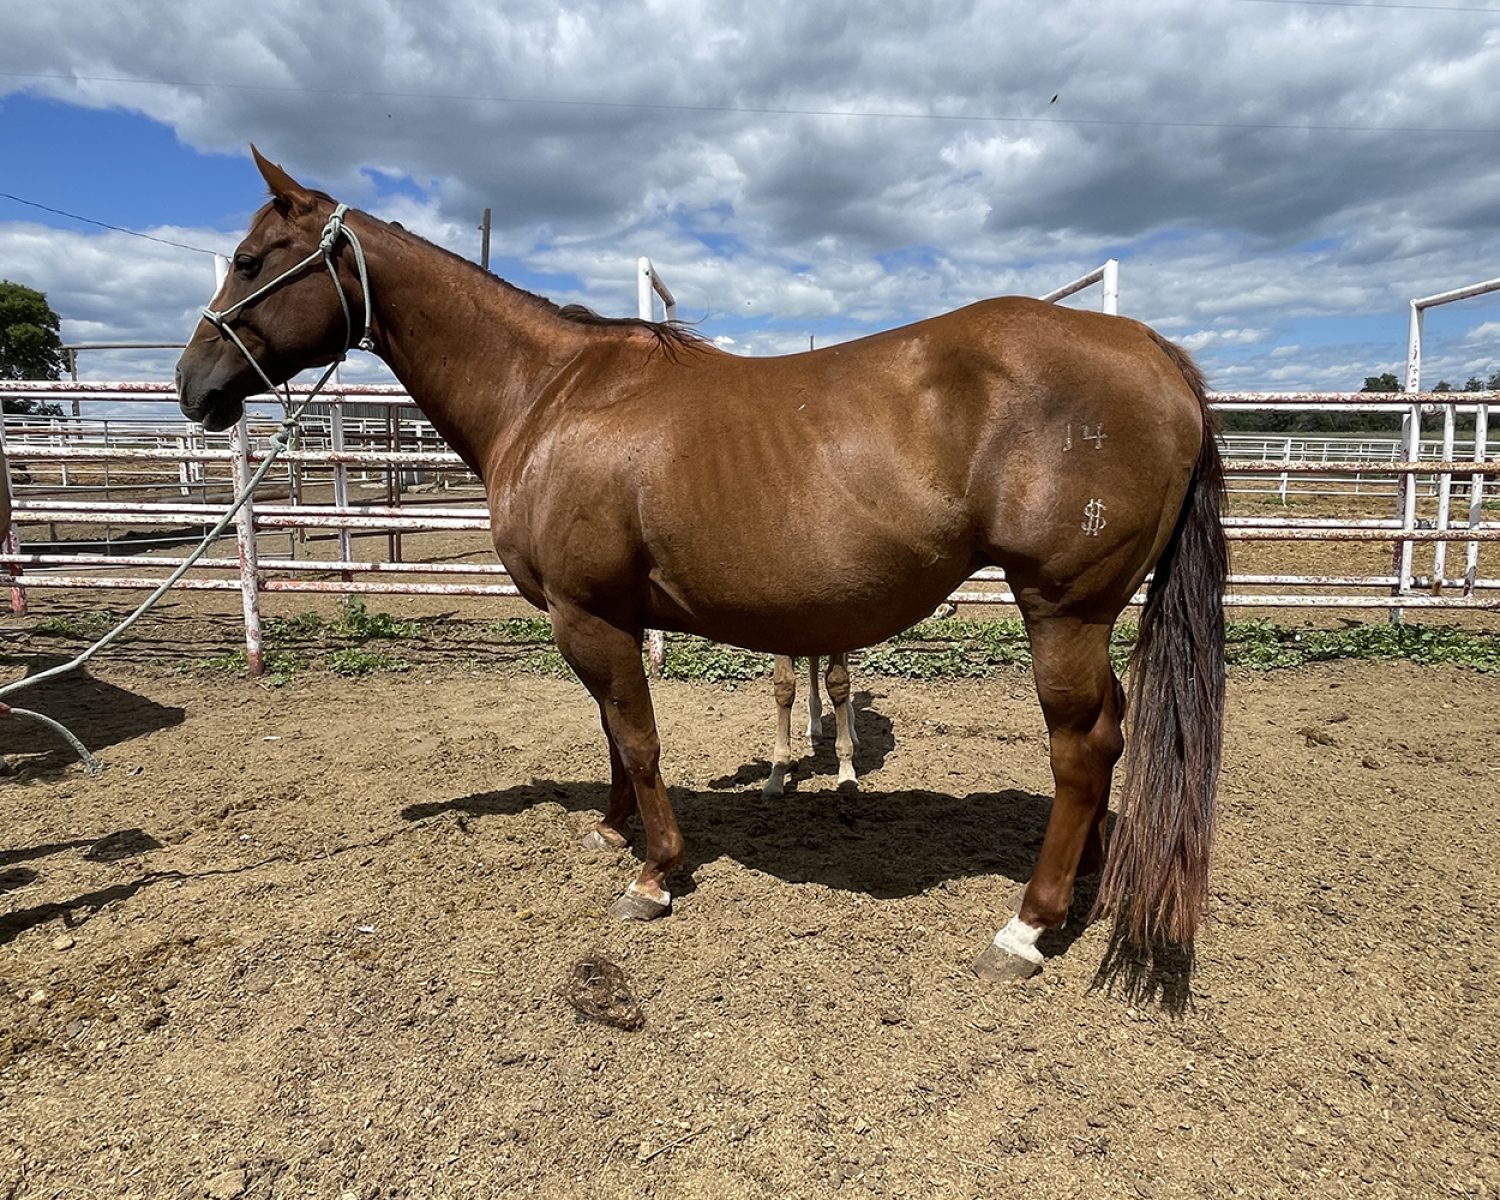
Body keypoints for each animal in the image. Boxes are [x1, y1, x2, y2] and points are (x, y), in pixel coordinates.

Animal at [176, 148, 1227, 981]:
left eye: (250, 261)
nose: (193, 387)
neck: (551, 396)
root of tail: (1153, 352)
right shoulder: (601, 615)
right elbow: (611, 731)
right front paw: (615, 829)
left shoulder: (588, 613)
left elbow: (639, 740)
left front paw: (654, 874)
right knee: (1112, 736)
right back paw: (1088, 879)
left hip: (1063, 610)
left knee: (1083, 748)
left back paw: (1029, 924)